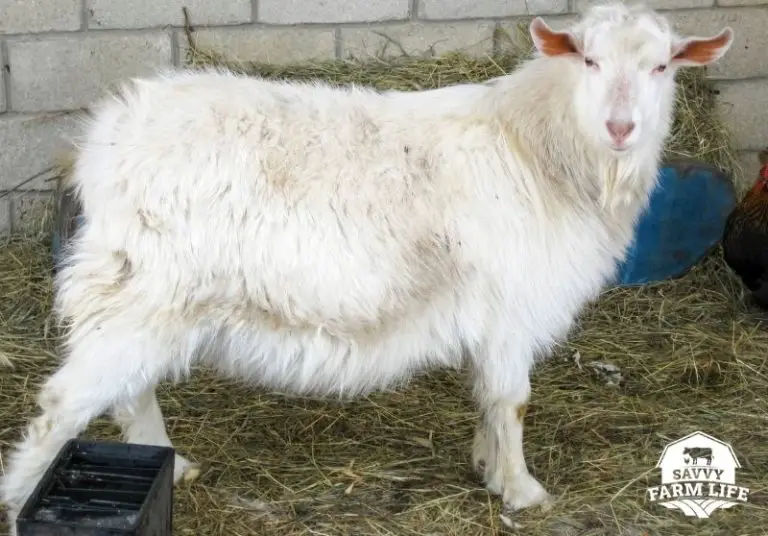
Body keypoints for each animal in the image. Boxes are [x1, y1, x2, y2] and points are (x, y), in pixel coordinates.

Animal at [1, 2, 732, 529]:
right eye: (586, 58)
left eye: (663, 67)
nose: (621, 128)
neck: (540, 147)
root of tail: (104, 137)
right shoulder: (512, 307)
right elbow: (512, 401)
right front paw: (522, 489)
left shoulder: (490, 315)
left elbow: (487, 398)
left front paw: (487, 465)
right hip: (137, 290)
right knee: (62, 405)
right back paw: (21, 498)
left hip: (146, 300)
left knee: (131, 390)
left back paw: (172, 466)